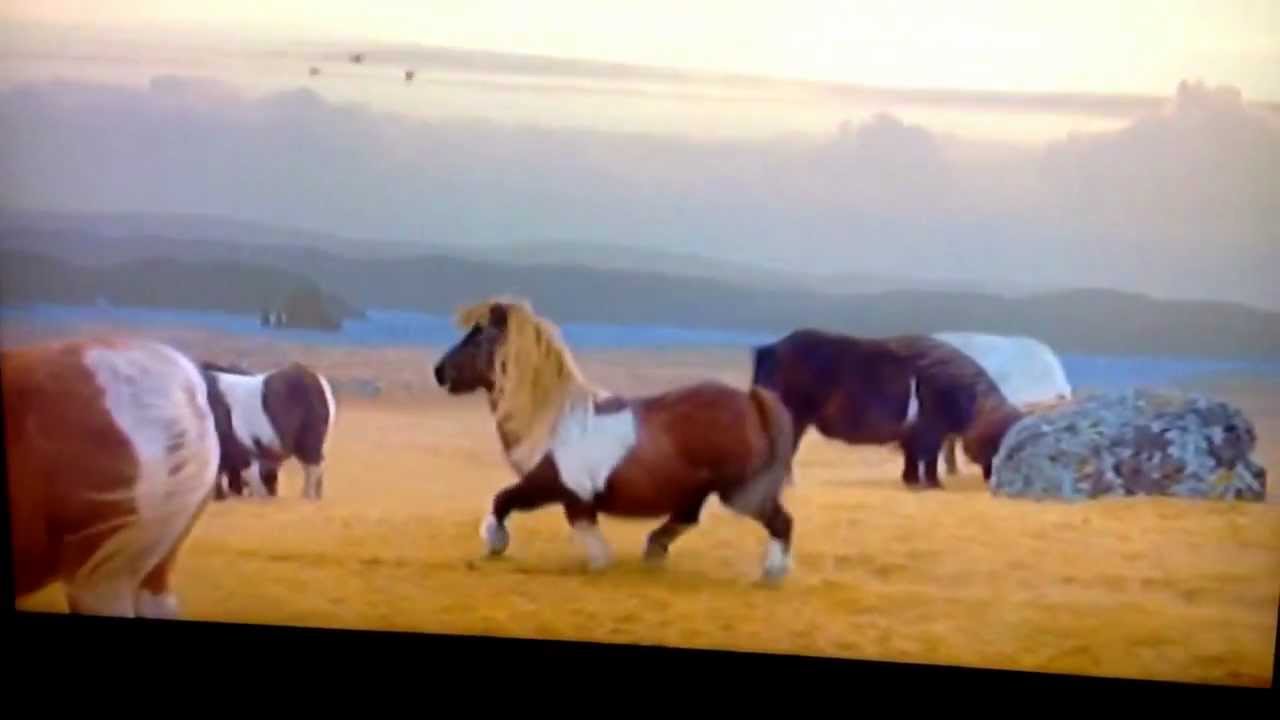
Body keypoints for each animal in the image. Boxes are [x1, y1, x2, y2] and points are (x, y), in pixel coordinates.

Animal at [432, 297, 797, 582]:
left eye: (477, 337)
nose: (439, 371)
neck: (553, 419)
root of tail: (751, 400)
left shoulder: (552, 487)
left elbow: (504, 501)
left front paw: (496, 542)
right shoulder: (563, 494)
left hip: (739, 491)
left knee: (781, 522)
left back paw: (772, 574)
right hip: (701, 490)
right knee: (684, 519)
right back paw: (654, 555)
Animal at [750, 328, 1024, 489]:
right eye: (1000, 442)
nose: (994, 480)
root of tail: (771, 348)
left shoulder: (916, 435)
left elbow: (913, 458)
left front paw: (911, 482)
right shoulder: (931, 430)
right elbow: (929, 458)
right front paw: (934, 485)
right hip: (794, 416)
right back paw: (786, 484)